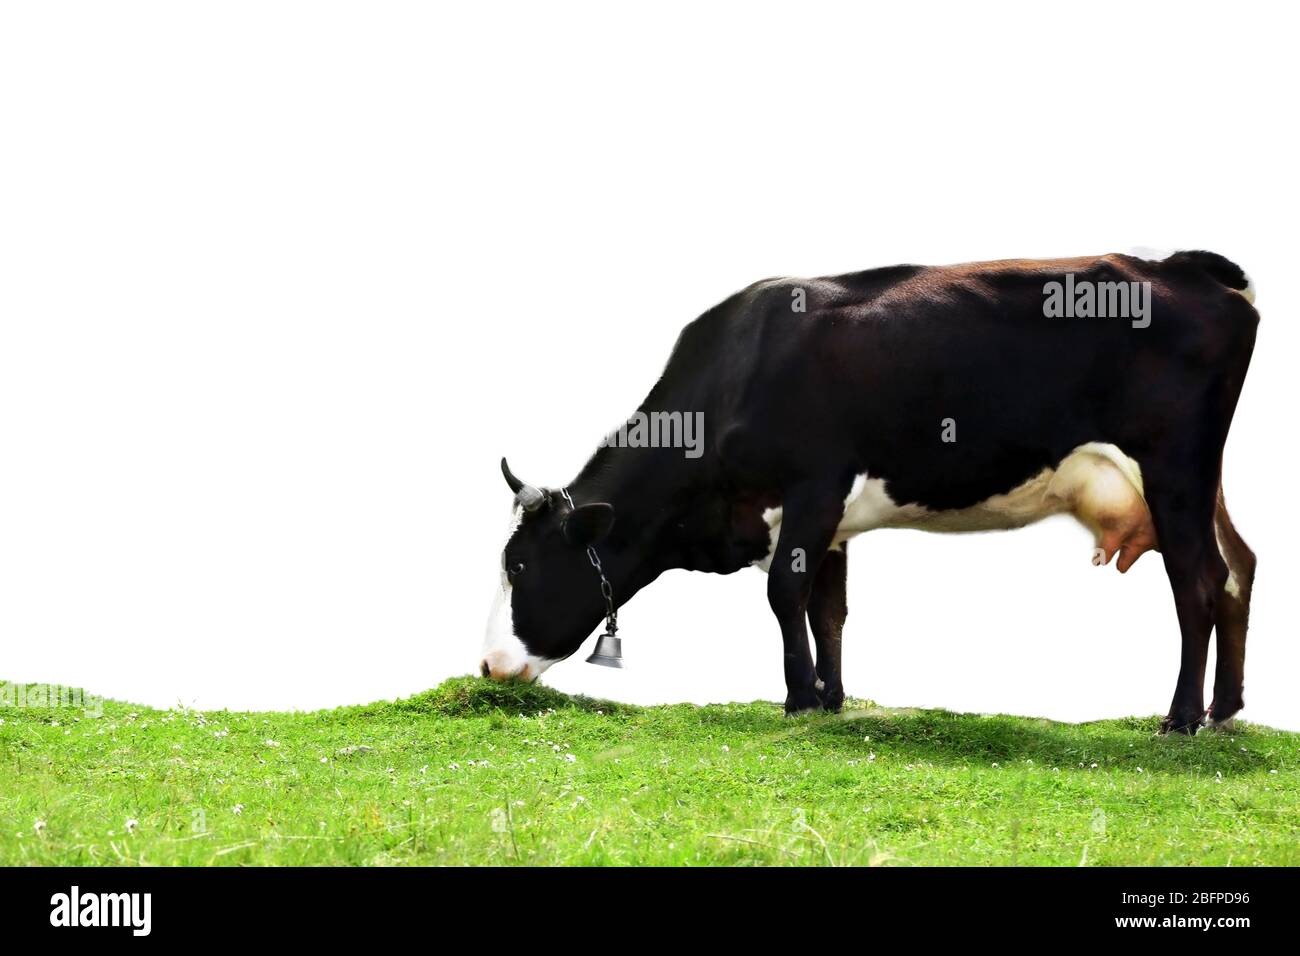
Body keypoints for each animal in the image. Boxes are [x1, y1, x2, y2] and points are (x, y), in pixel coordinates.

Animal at [484, 251, 1258, 734]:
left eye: (519, 565)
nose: (490, 666)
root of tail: (1181, 266)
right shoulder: (833, 519)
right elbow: (828, 609)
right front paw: (831, 699)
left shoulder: (813, 483)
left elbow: (785, 594)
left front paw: (797, 700)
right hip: (1201, 479)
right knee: (1236, 569)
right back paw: (1225, 710)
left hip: (1175, 470)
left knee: (1195, 584)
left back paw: (1181, 719)